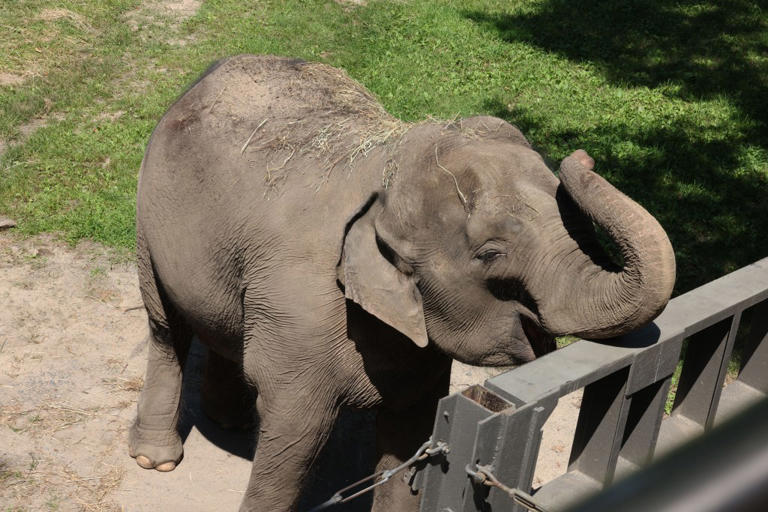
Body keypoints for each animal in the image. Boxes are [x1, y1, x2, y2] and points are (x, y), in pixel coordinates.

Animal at [129, 55, 676, 511]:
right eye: (490, 255)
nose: (583, 156)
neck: (386, 169)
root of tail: (207, 73)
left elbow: (410, 434)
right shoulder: (298, 312)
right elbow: (294, 435)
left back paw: (232, 422)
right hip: (148, 220)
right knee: (166, 328)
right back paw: (156, 459)